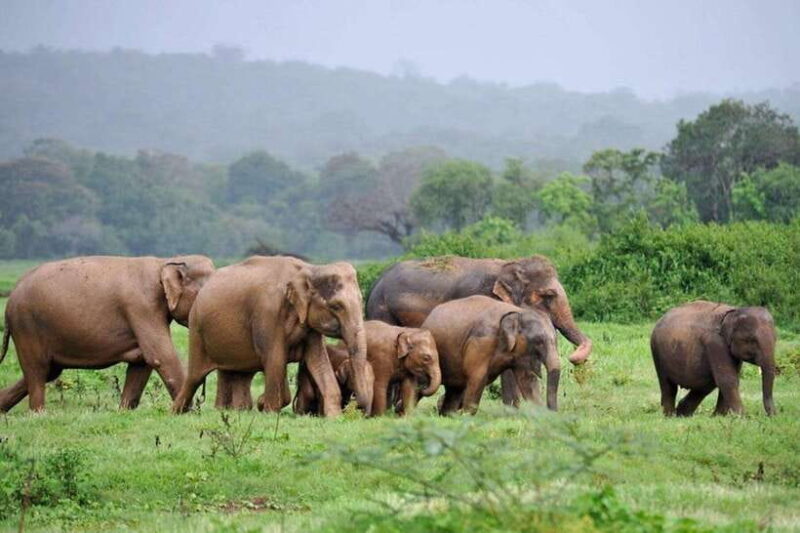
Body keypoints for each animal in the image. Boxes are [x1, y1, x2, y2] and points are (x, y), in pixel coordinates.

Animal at [0, 255, 215, 412]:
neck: (164, 262)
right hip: (26, 325)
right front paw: (188, 413)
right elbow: (160, 356)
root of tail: (11, 296)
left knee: (48, 371)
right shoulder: (142, 307)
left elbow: (142, 363)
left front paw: (124, 411)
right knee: (37, 370)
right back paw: (39, 414)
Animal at [172, 256, 371, 417]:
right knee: (195, 376)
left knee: (237, 374)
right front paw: (267, 409)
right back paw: (177, 412)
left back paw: (234, 411)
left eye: (361, 300)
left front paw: (334, 417)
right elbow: (275, 359)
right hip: (197, 330)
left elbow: (318, 360)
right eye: (336, 306)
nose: (357, 407)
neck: (309, 268)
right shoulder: (268, 313)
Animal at [294, 320, 441, 416]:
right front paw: (379, 417)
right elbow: (380, 385)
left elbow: (409, 387)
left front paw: (407, 417)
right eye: (427, 358)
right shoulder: (381, 358)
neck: (405, 331)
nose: (424, 387)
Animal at [421, 295, 560, 415]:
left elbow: (528, 381)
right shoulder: (481, 341)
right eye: (539, 341)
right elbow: (477, 377)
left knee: (454, 390)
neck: (518, 311)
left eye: (555, 340)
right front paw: (467, 417)